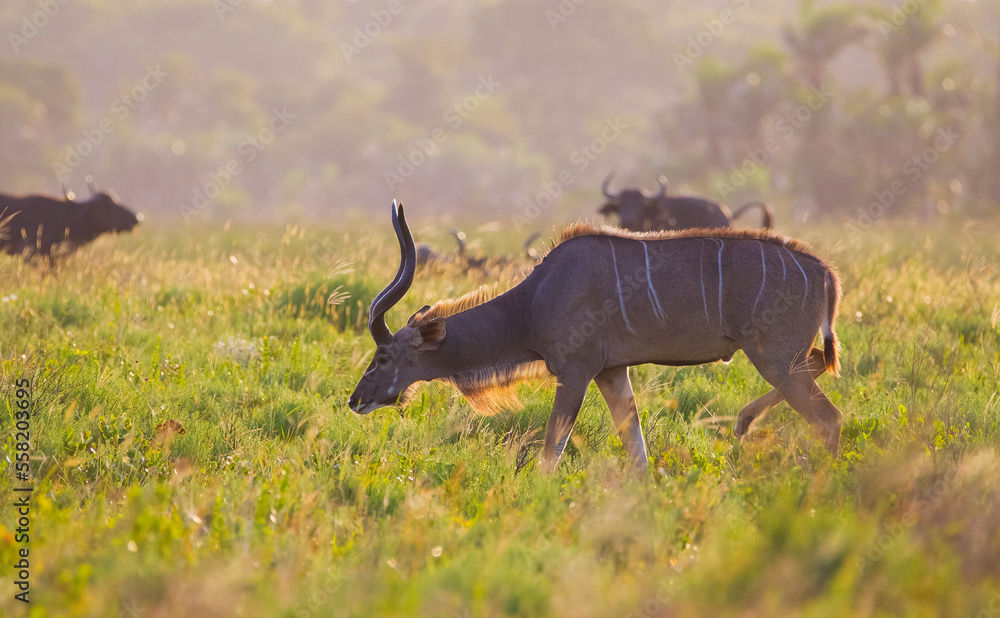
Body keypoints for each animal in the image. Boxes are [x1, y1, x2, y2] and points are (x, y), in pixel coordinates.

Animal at [350, 201, 843, 473]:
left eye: (383, 358)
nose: (355, 400)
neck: (531, 300)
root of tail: (825, 272)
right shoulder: (612, 372)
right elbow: (637, 451)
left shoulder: (576, 371)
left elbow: (551, 450)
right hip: (784, 358)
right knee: (821, 365)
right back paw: (742, 422)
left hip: (773, 356)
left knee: (829, 417)